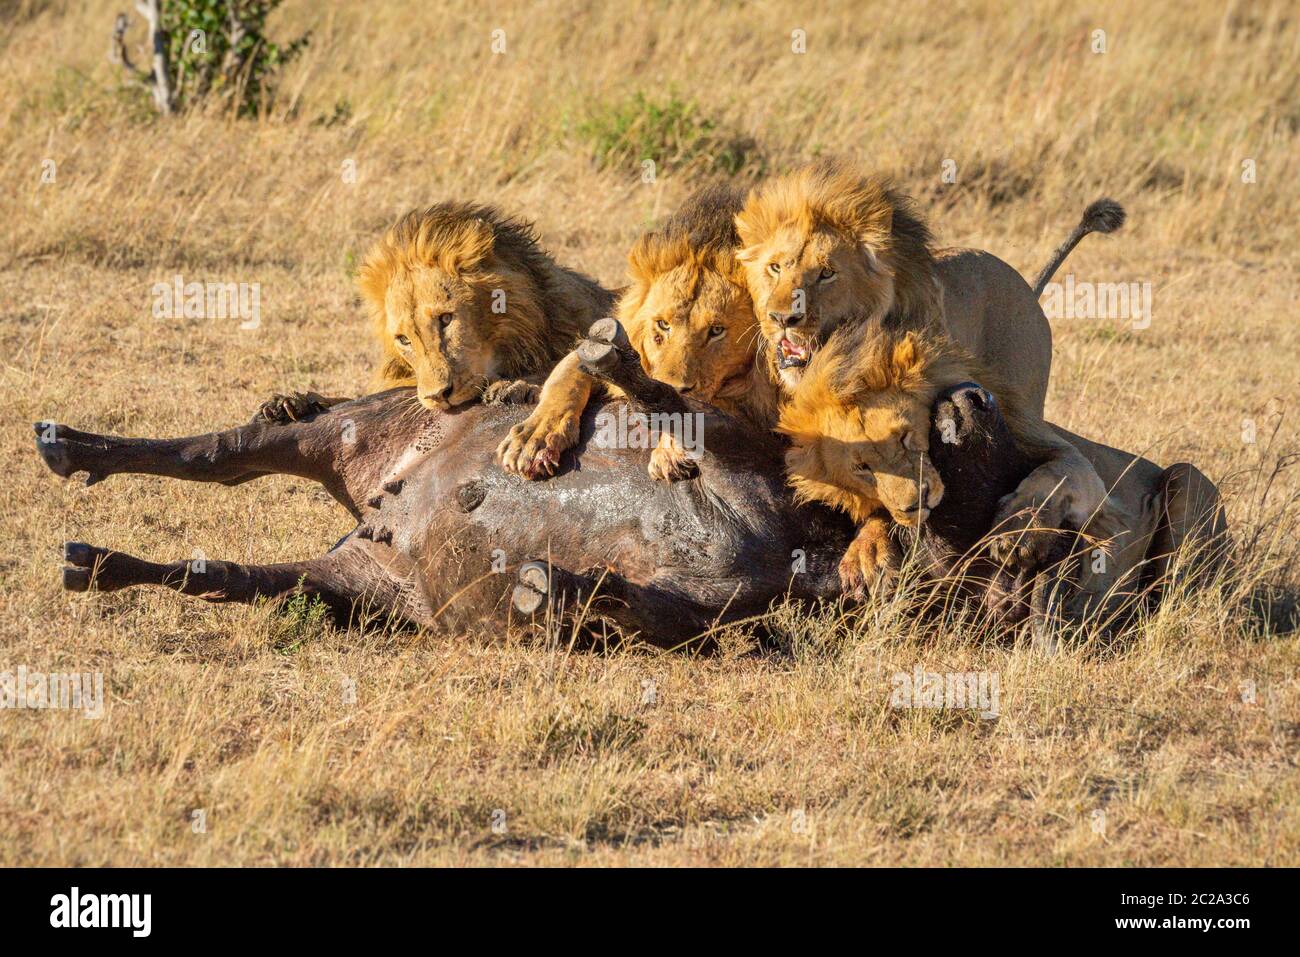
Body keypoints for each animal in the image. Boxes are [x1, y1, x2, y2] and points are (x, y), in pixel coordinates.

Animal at [496, 183, 779, 480]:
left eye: (716, 330)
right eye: (663, 324)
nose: (672, 388)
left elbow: (716, 406)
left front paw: (670, 451)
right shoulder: (607, 342)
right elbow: (564, 380)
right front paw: (533, 440)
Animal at [734, 160, 1124, 565]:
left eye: (827, 273)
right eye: (776, 268)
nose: (782, 318)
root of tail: (1022, 283)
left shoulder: (1068, 458)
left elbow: (1051, 478)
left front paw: (1019, 530)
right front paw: (868, 549)